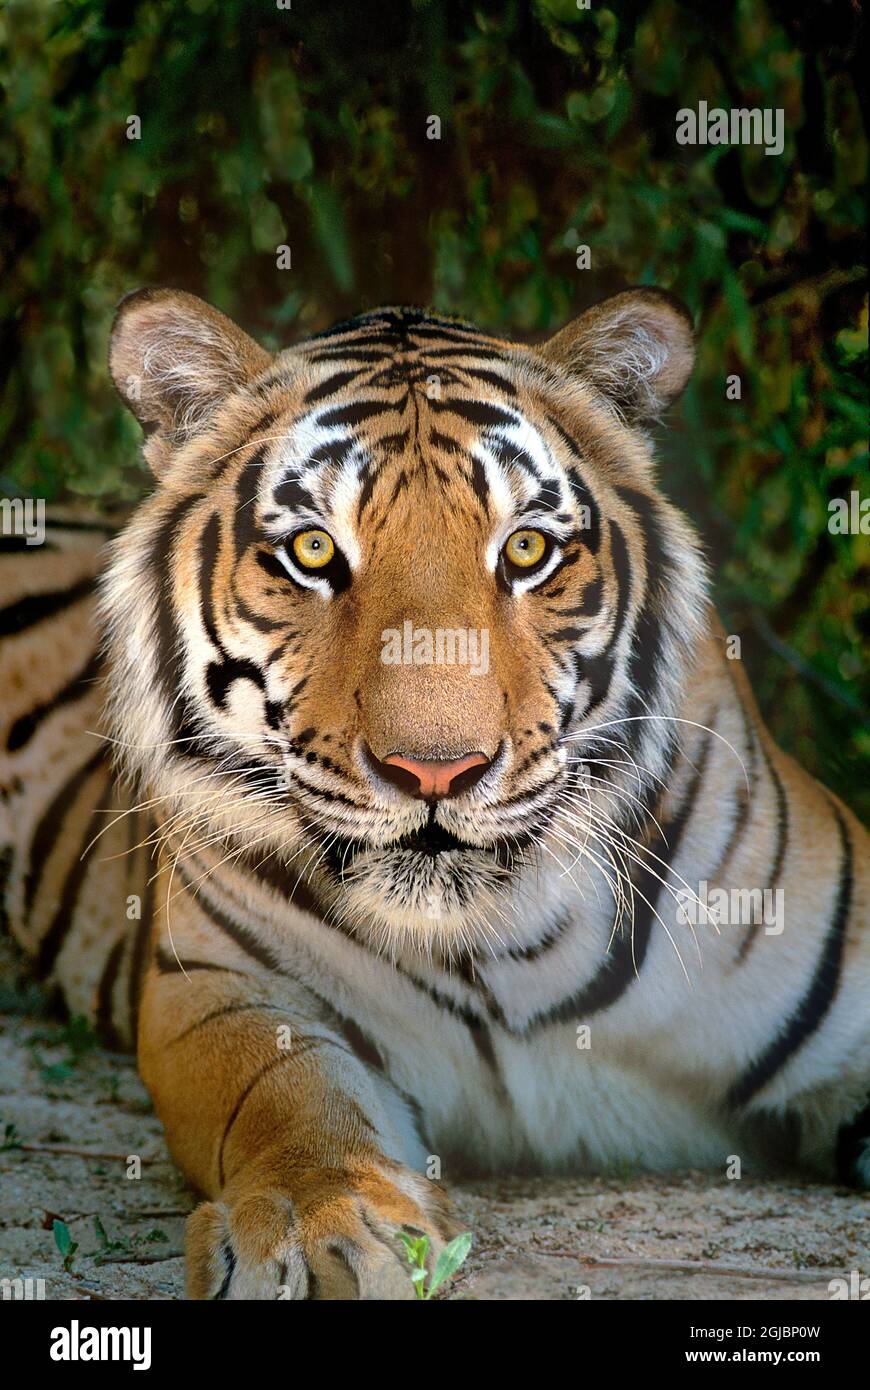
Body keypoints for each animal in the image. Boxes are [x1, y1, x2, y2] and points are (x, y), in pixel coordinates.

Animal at [1, 285, 868, 1301]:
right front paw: (320, 1221)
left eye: (526, 549)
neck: (503, 939)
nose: (436, 772)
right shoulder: (225, 990)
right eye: (313, 551)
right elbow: (286, 1100)